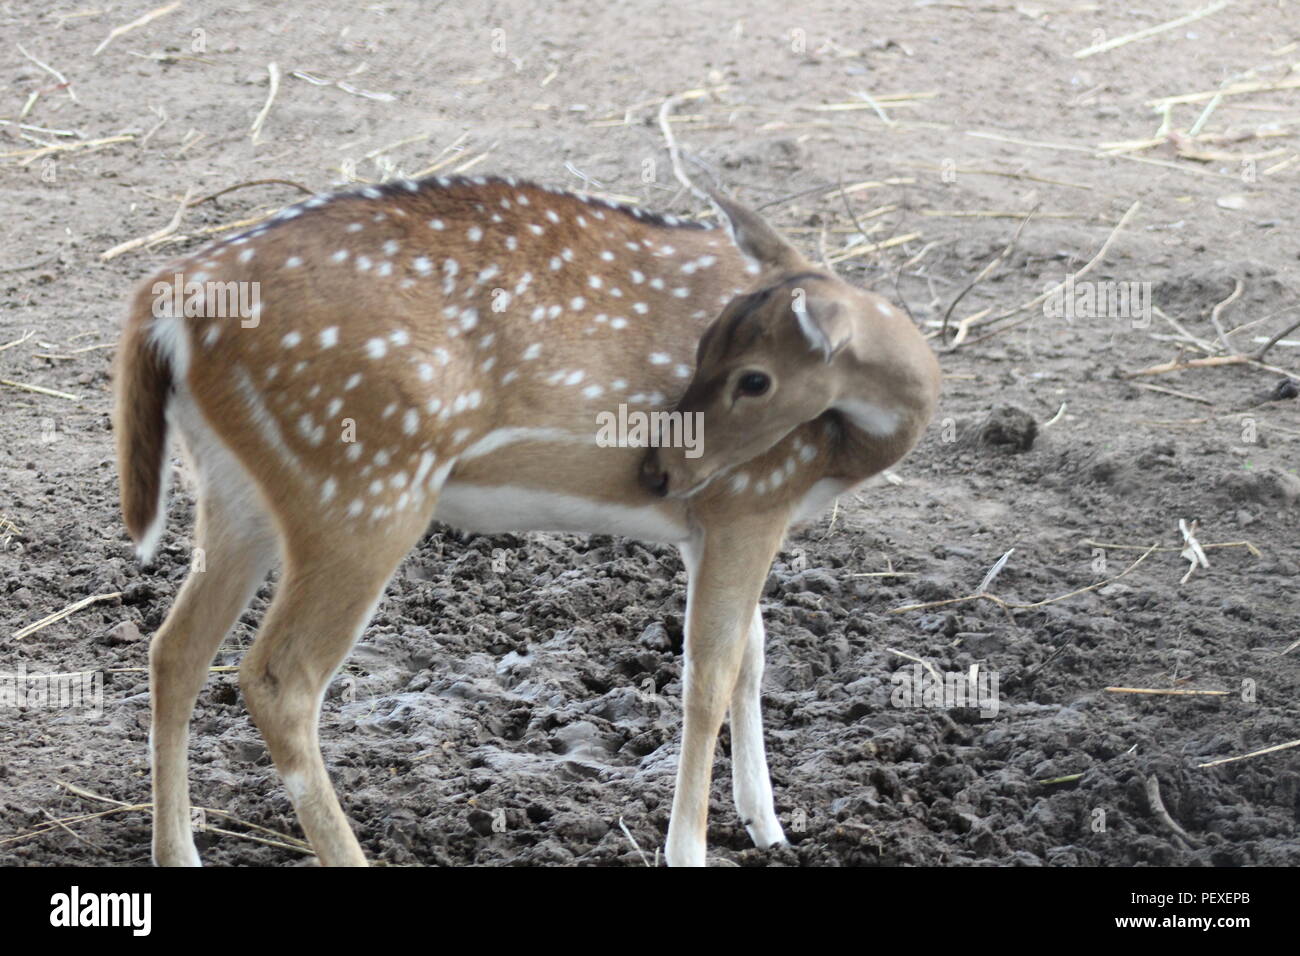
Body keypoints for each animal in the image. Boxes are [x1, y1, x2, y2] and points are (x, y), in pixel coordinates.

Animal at [113, 172, 940, 867]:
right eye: (716, 354)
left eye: (753, 376)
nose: (659, 469)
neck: (840, 454)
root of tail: (170, 299)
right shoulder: (749, 499)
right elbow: (709, 672)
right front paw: (689, 850)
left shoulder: (714, 523)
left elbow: (754, 653)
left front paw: (769, 828)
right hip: (362, 486)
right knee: (278, 677)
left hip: (235, 489)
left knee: (175, 648)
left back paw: (178, 854)